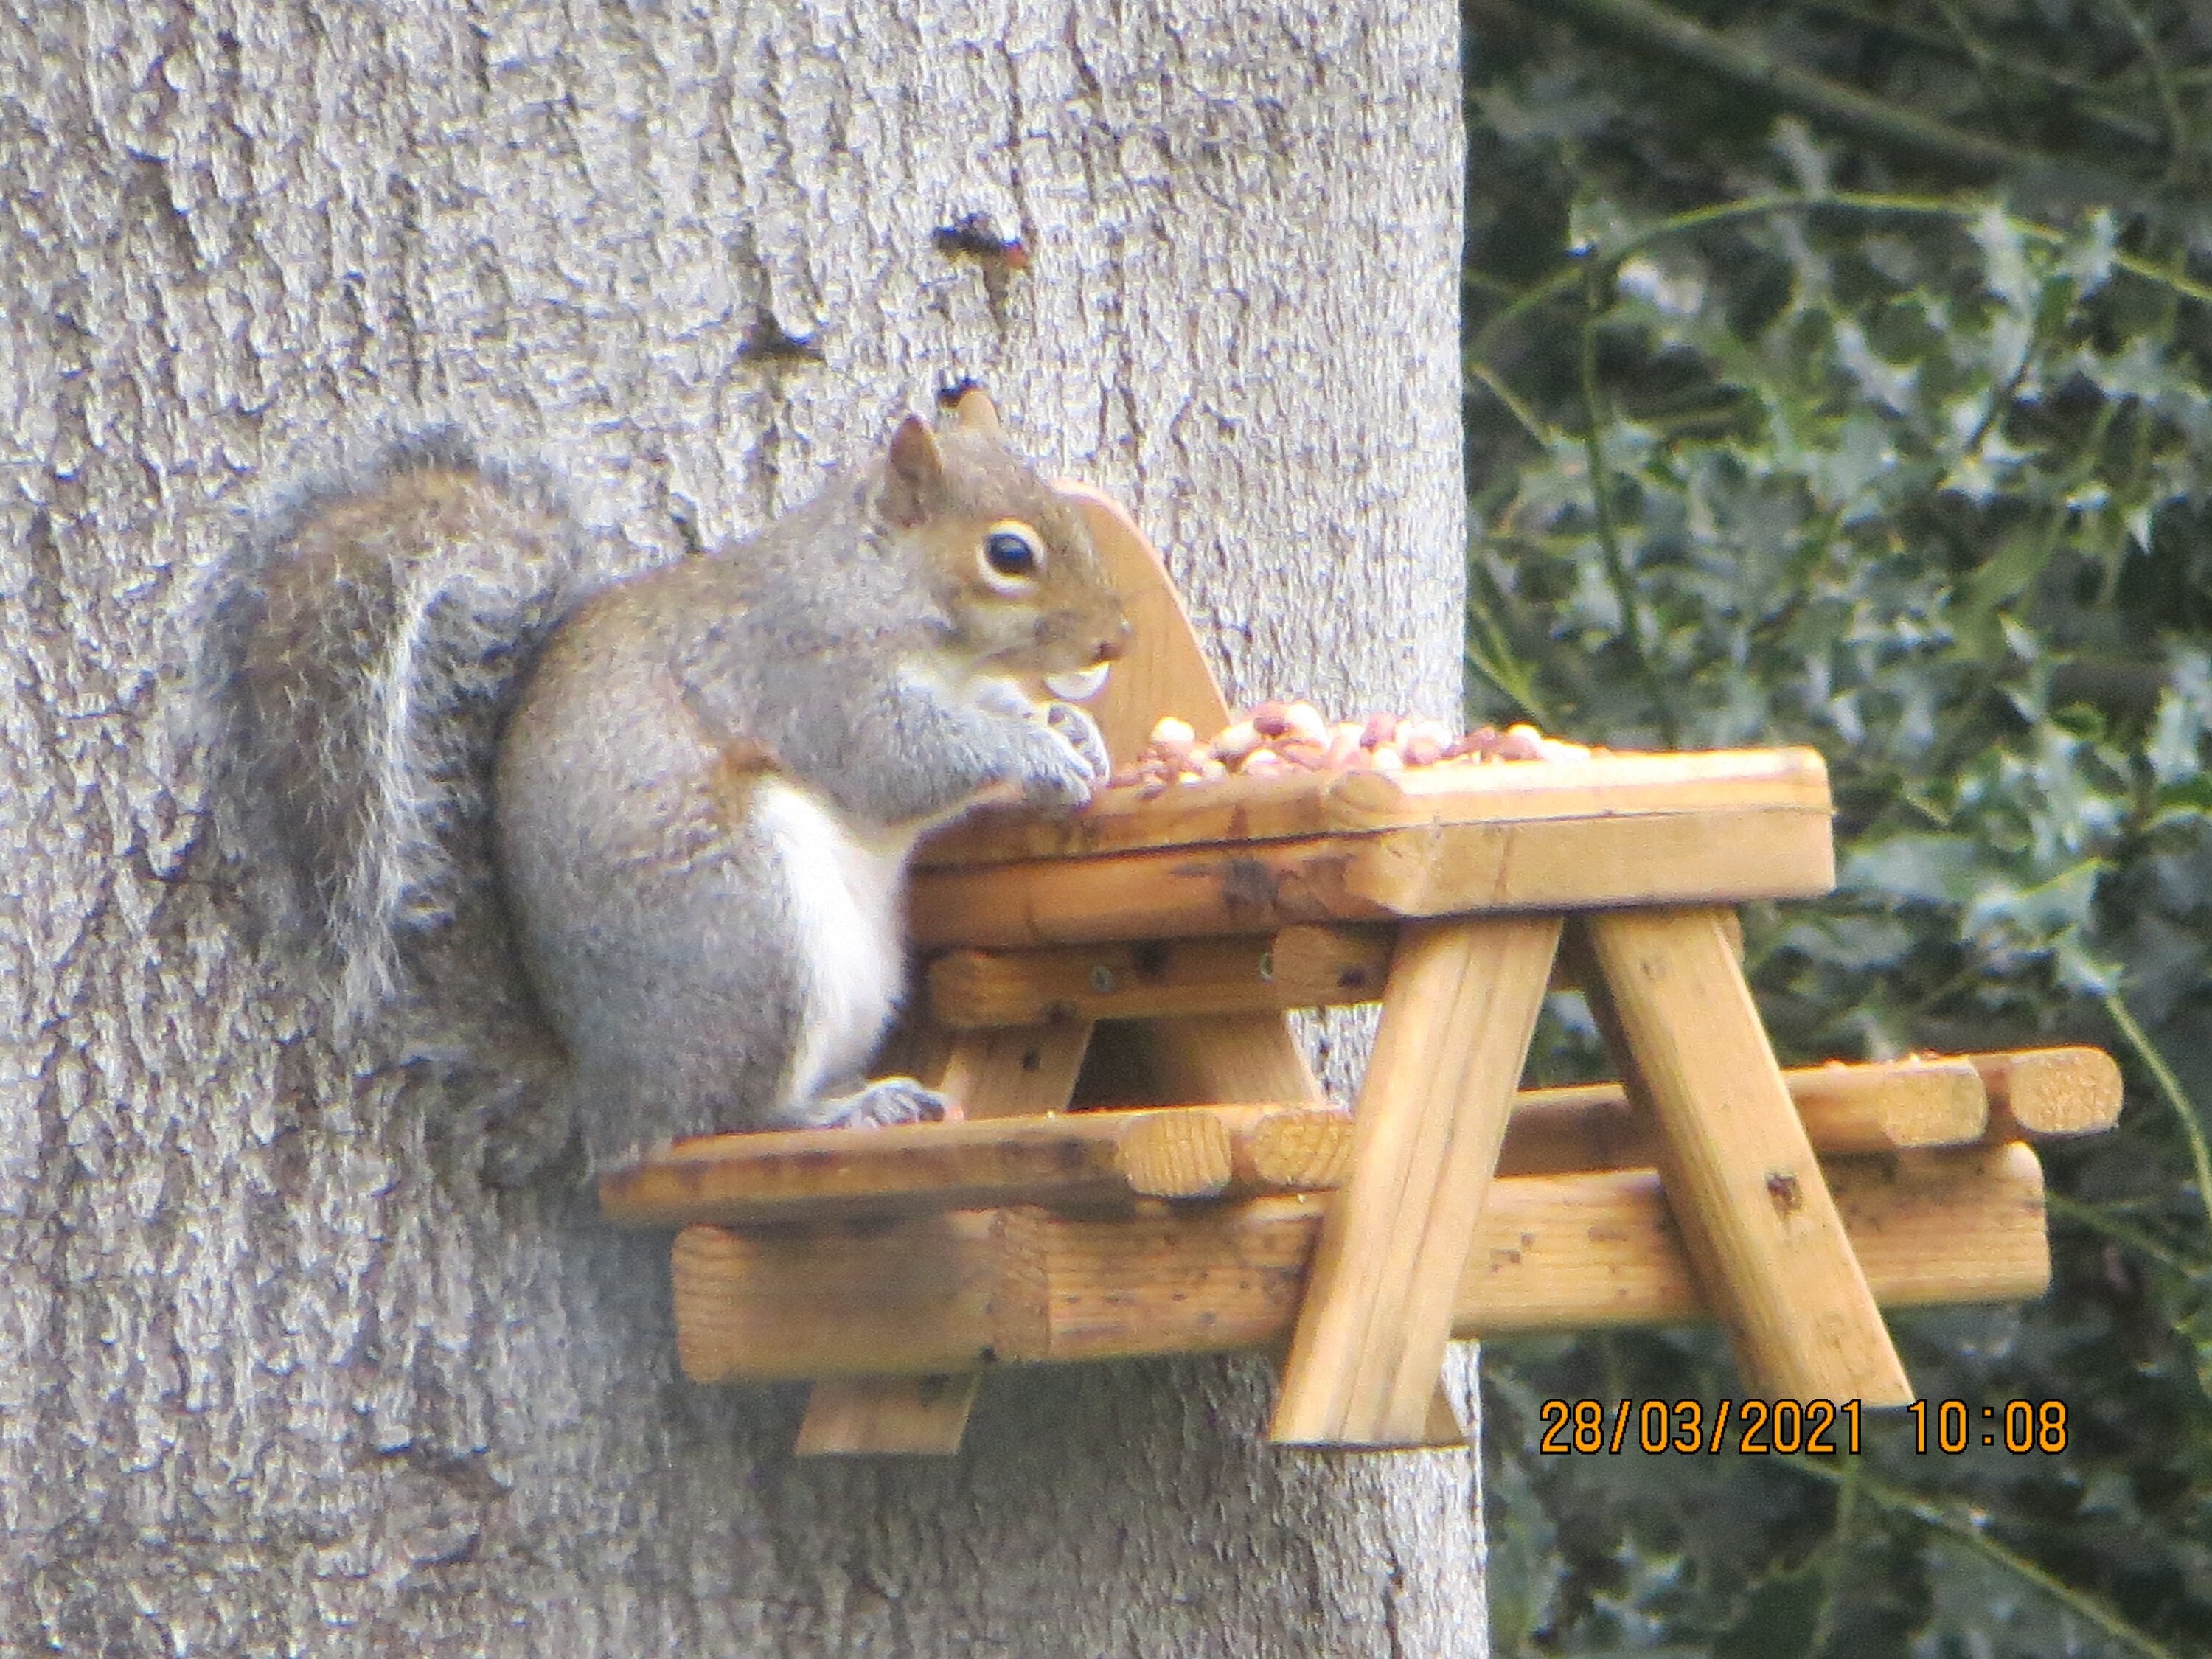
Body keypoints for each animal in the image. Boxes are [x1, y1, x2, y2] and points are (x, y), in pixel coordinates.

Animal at [198, 393, 1131, 1181]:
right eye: (1009, 554)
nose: (1114, 641)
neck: (879, 588)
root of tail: (608, 1091)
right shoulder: (812, 676)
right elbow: (897, 763)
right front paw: (1036, 753)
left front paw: (1075, 731)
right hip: (752, 941)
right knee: (719, 1118)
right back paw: (840, 1114)